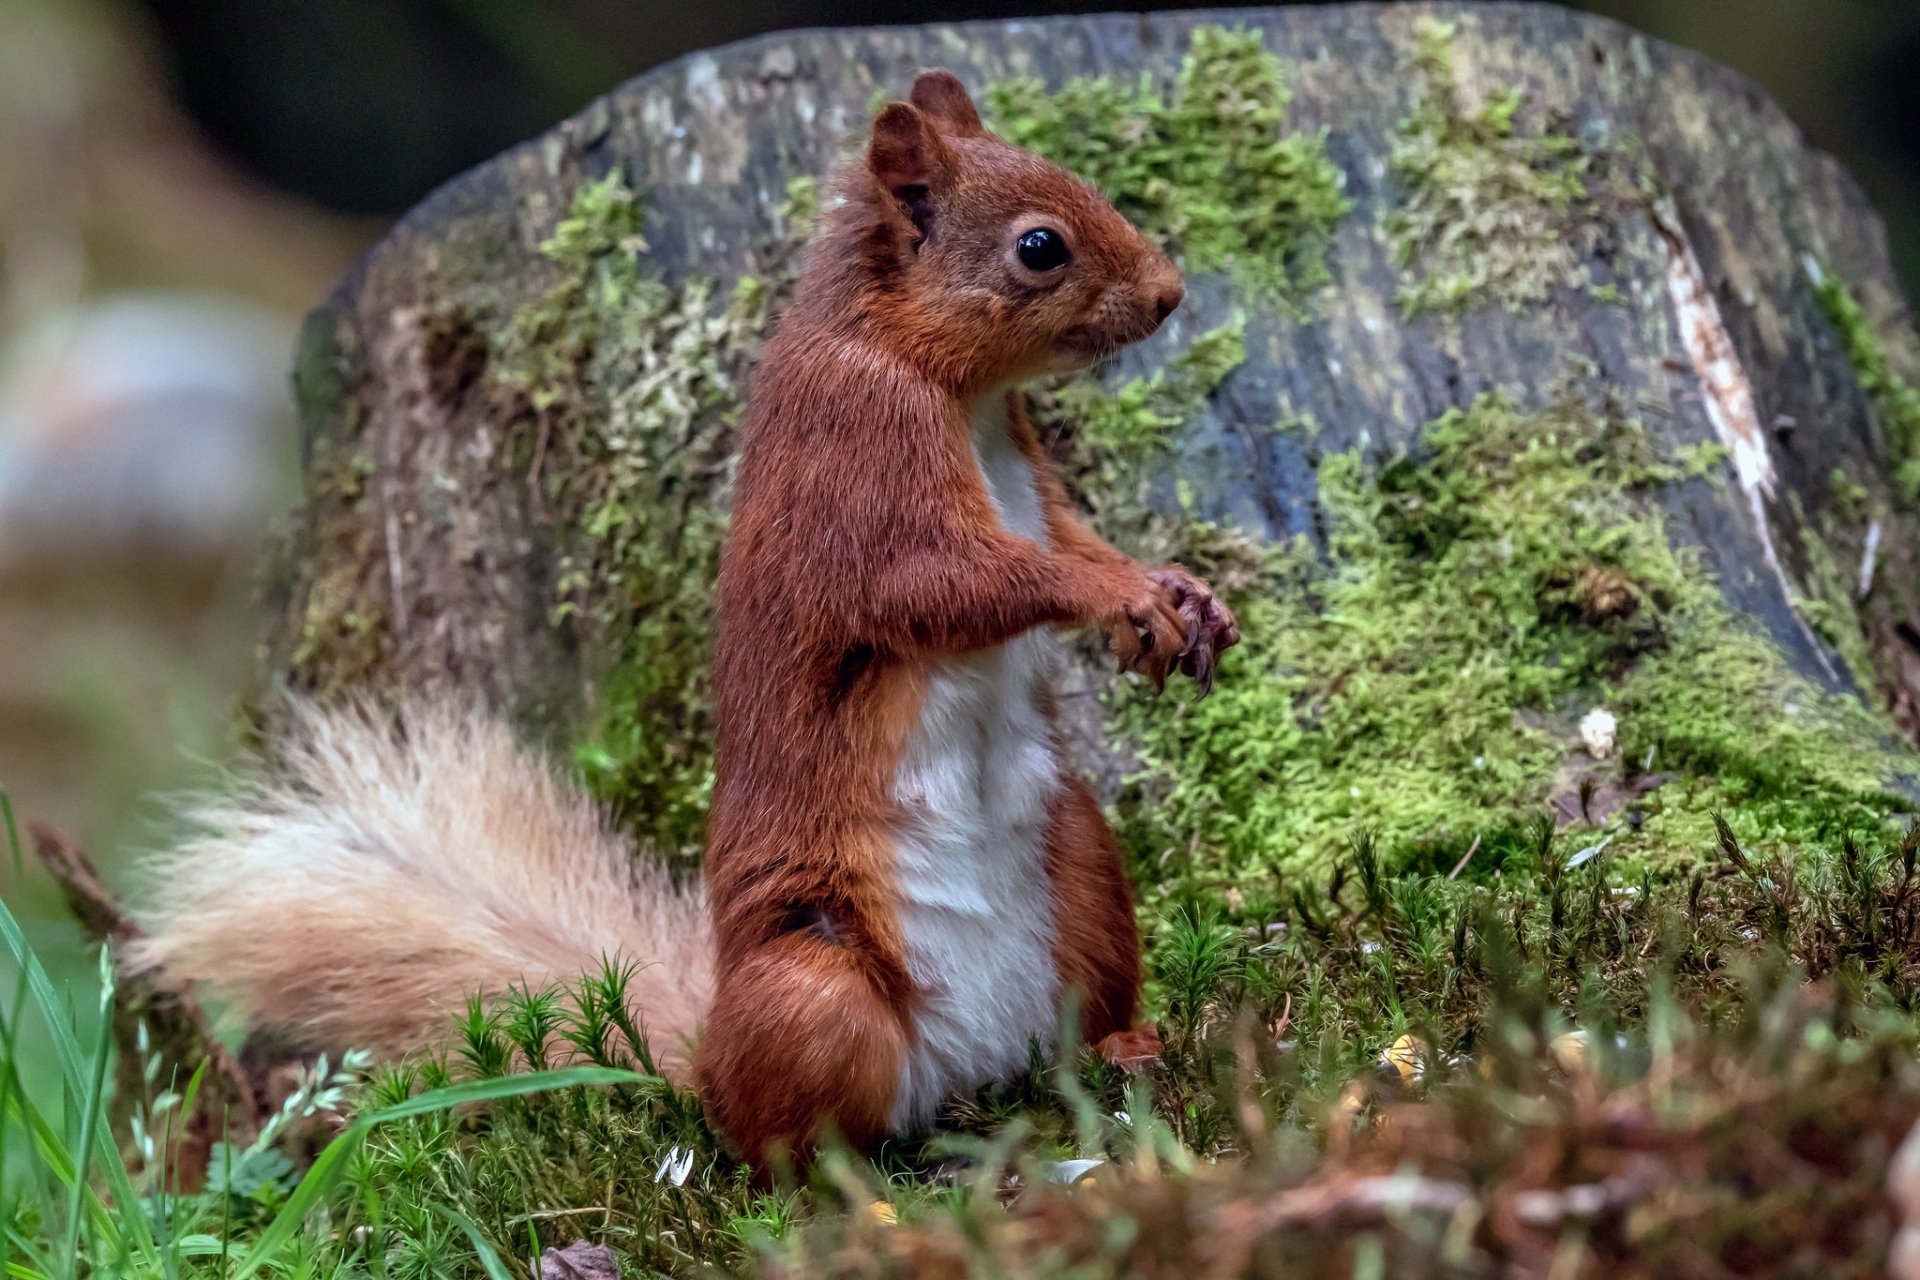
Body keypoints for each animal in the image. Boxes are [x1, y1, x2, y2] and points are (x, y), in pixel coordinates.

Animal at [129, 70, 1238, 1171]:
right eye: (1039, 246)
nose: (1171, 293)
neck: (944, 380)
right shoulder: (856, 467)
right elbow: (945, 586)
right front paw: (1119, 598)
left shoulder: (1029, 478)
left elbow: (1070, 535)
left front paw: (1176, 591)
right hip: (813, 988)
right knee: (769, 1127)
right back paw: (838, 1169)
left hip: (1085, 873)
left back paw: (1124, 1044)